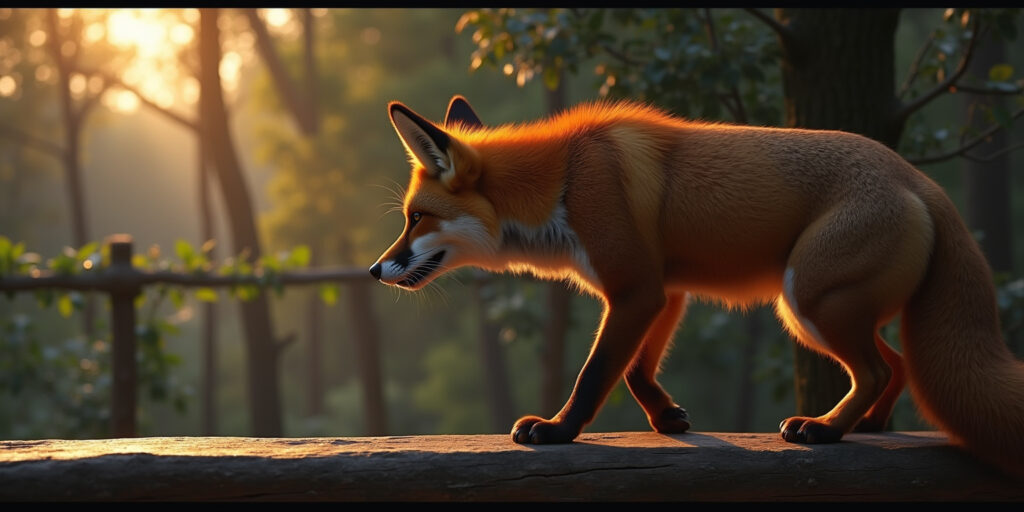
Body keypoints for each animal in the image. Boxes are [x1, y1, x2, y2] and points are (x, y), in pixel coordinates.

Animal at [369, 95, 1024, 477]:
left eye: (416, 218)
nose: (376, 270)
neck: (565, 181)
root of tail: (920, 179)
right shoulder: (664, 292)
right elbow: (635, 372)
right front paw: (667, 418)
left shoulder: (635, 290)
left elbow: (595, 374)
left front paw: (557, 432)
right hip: (828, 309)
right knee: (897, 365)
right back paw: (866, 425)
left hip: (805, 299)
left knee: (879, 368)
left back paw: (826, 430)